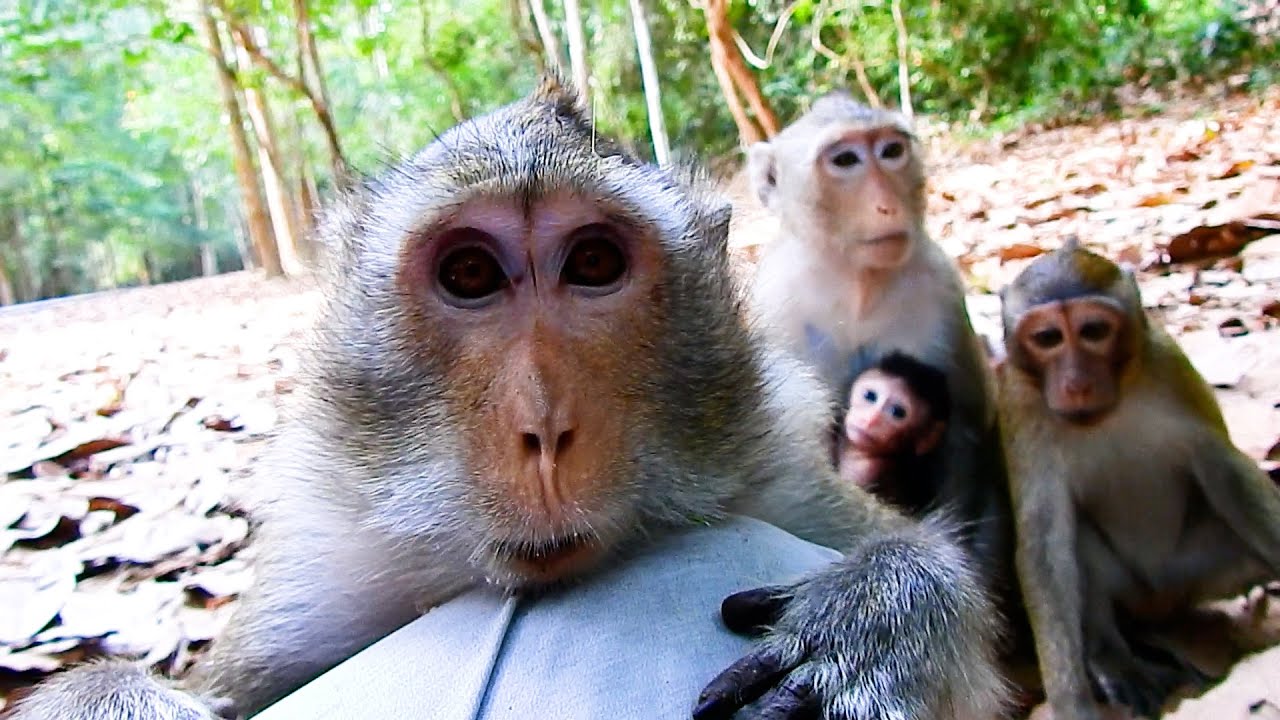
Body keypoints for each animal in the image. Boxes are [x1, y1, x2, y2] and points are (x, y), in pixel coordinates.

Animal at [998, 238, 1280, 720]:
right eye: (1048, 338)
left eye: (1093, 330)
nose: (1076, 382)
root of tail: (1159, 600)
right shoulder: (1019, 402)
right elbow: (1045, 545)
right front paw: (1071, 701)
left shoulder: (1169, 365)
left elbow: (1224, 470)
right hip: (1128, 589)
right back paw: (1111, 656)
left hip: (1196, 569)